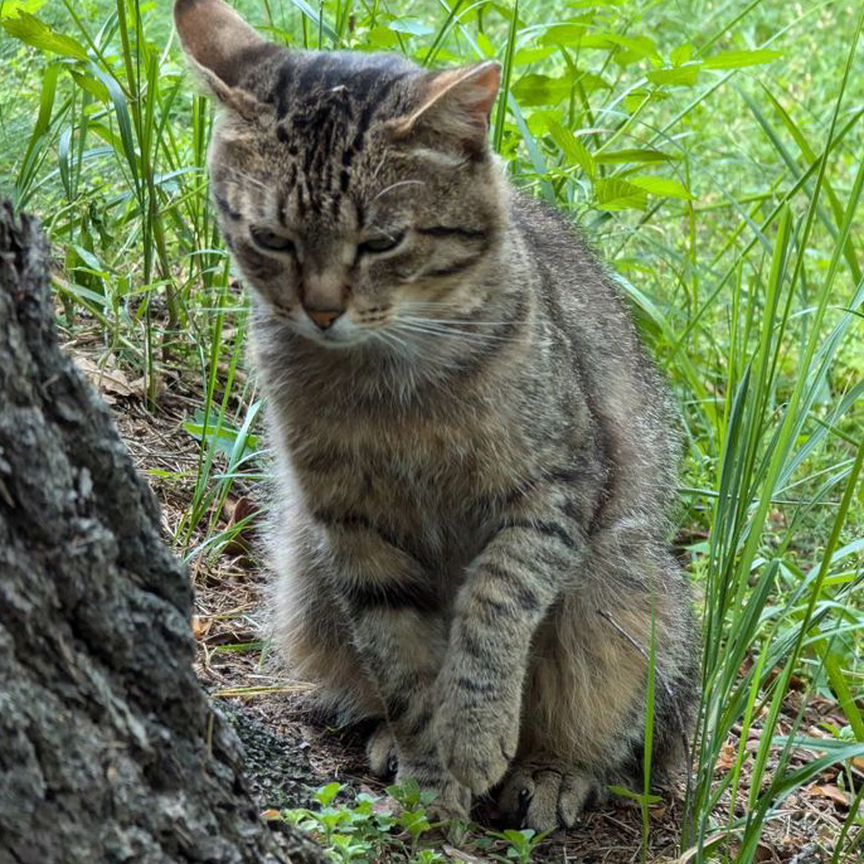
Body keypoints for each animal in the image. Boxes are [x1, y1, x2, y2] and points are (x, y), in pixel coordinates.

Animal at [177, 0, 704, 832]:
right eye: (271, 238)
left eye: (383, 241)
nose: (320, 310)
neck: (388, 382)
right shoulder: (350, 523)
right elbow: (399, 654)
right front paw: (431, 769)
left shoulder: (555, 488)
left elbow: (494, 606)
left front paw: (475, 732)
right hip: (304, 572)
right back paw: (391, 738)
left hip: (622, 590)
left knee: (624, 723)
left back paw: (553, 769)